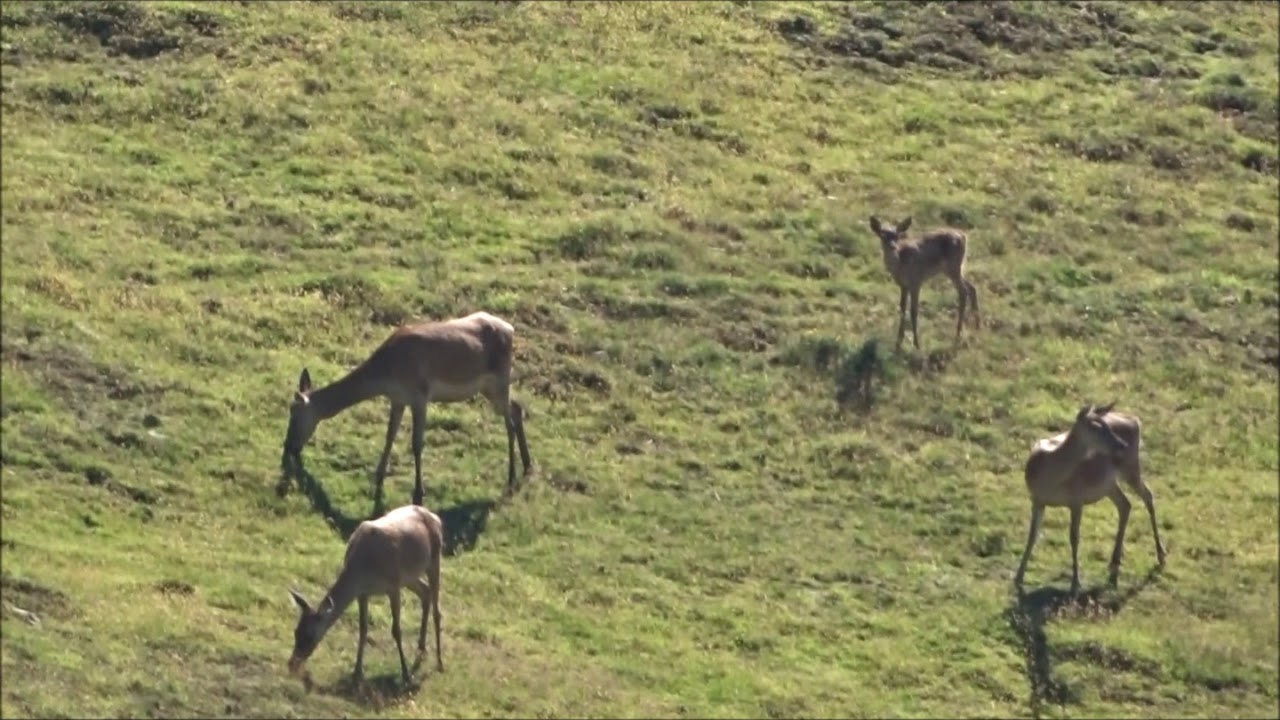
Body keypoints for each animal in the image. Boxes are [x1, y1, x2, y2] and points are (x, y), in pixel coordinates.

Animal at [280, 311, 534, 507]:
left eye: (294, 415)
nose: (288, 447)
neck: (387, 372)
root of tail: (510, 329)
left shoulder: (420, 396)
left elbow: (416, 444)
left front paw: (419, 492)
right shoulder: (398, 399)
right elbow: (389, 435)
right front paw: (378, 476)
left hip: (499, 380)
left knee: (509, 421)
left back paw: (511, 476)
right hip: (488, 388)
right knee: (516, 408)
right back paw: (528, 465)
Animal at [288, 503, 444, 685]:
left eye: (310, 635)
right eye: (296, 631)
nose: (292, 664)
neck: (363, 568)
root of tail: (435, 517)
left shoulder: (393, 586)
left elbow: (396, 630)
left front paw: (406, 674)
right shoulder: (362, 593)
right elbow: (363, 629)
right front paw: (356, 672)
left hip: (433, 559)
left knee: (437, 610)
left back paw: (439, 662)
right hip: (410, 576)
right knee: (425, 592)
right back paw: (421, 649)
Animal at [867, 215, 980, 350]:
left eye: (897, 236)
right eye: (882, 235)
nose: (892, 246)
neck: (900, 263)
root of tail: (963, 236)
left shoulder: (916, 281)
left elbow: (913, 311)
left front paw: (916, 344)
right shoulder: (903, 285)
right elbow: (902, 309)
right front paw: (898, 342)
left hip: (953, 266)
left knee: (963, 292)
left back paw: (958, 334)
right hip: (954, 269)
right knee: (972, 287)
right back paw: (977, 326)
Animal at [1014, 401, 1168, 595]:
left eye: (1106, 426)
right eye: (1095, 427)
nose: (1122, 444)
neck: (1048, 478)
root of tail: (1135, 420)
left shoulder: (1076, 498)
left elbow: (1074, 538)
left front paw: (1075, 583)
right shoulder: (1036, 499)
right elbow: (1032, 535)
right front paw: (1018, 576)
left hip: (1130, 467)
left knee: (1147, 495)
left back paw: (1160, 555)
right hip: (1109, 483)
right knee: (1125, 504)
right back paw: (1114, 562)